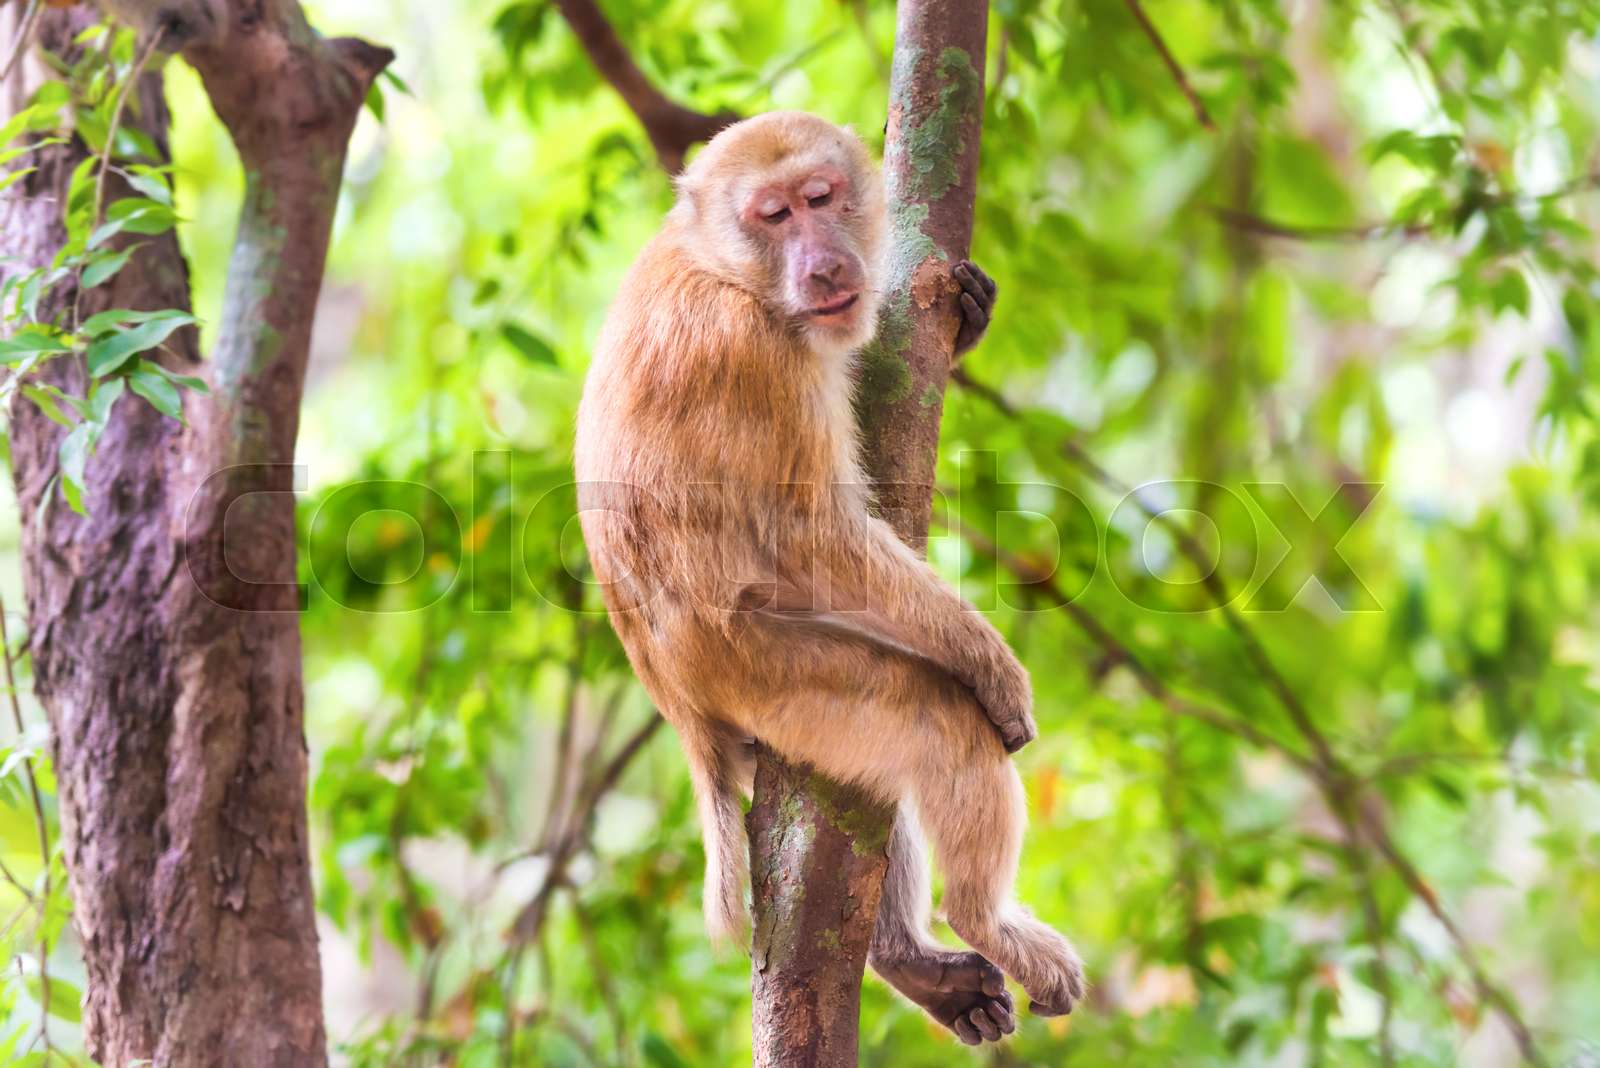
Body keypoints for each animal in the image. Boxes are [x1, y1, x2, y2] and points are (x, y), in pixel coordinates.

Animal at [574, 111, 1085, 1044]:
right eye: (773, 215)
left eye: (820, 198)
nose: (822, 264)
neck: (722, 268)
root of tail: (679, 701)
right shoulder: (753, 355)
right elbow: (811, 539)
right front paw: (989, 661)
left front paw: (964, 317)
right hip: (766, 672)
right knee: (934, 717)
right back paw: (982, 916)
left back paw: (906, 958)